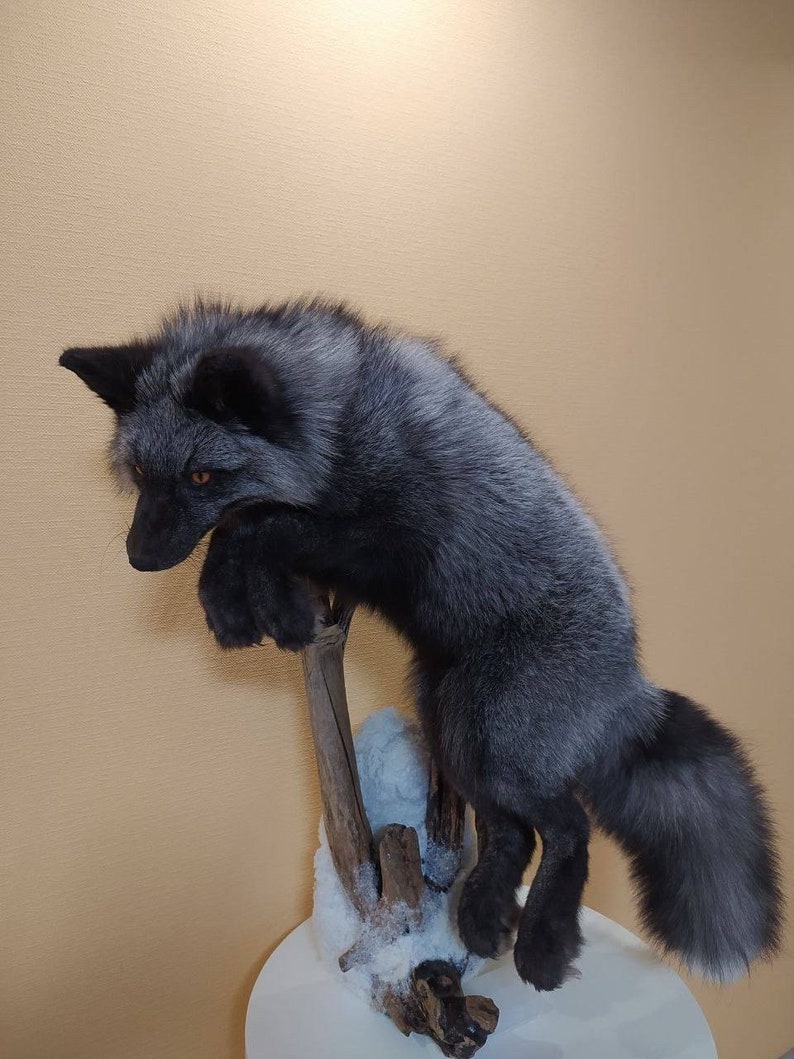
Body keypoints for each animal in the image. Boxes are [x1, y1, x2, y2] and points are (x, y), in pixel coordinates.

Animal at [60, 298, 782, 991]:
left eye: (203, 477)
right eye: (140, 471)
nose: (137, 556)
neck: (347, 419)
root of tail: (630, 681)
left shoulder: (389, 538)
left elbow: (257, 525)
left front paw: (249, 602)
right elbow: (244, 533)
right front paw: (256, 611)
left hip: (496, 736)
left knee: (570, 827)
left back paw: (542, 948)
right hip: (453, 728)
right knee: (515, 833)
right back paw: (483, 918)